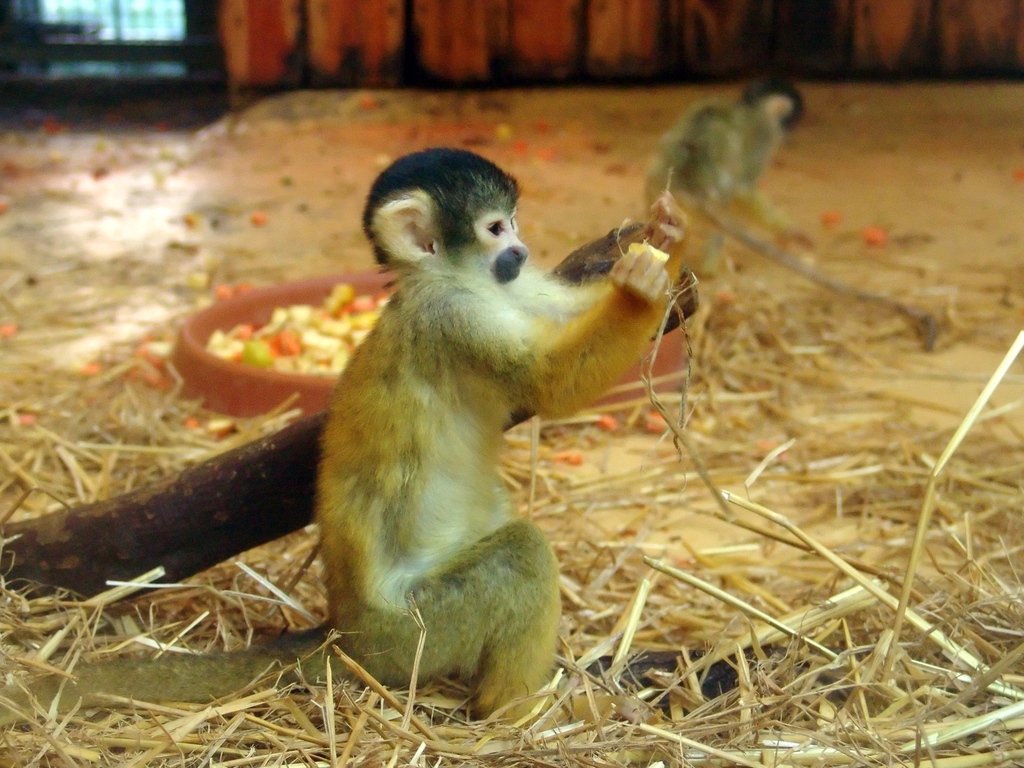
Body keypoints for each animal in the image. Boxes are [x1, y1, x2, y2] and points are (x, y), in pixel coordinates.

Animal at [0, 148, 688, 724]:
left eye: (513, 224)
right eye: (497, 229)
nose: (519, 250)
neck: (446, 279)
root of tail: (346, 633)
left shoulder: (500, 292)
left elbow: (560, 309)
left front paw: (669, 238)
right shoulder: (452, 315)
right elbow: (551, 383)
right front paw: (638, 294)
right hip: (413, 635)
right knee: (520, 556)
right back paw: (514, 712)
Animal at [645, 77, 807, 275]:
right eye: (788, 121)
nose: (787, 137)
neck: (753, 111)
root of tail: (689, 183)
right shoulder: (762, 139)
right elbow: (742, 189)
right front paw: (787, 229)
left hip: (657, 183)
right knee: (727, 197)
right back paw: (709, 268)